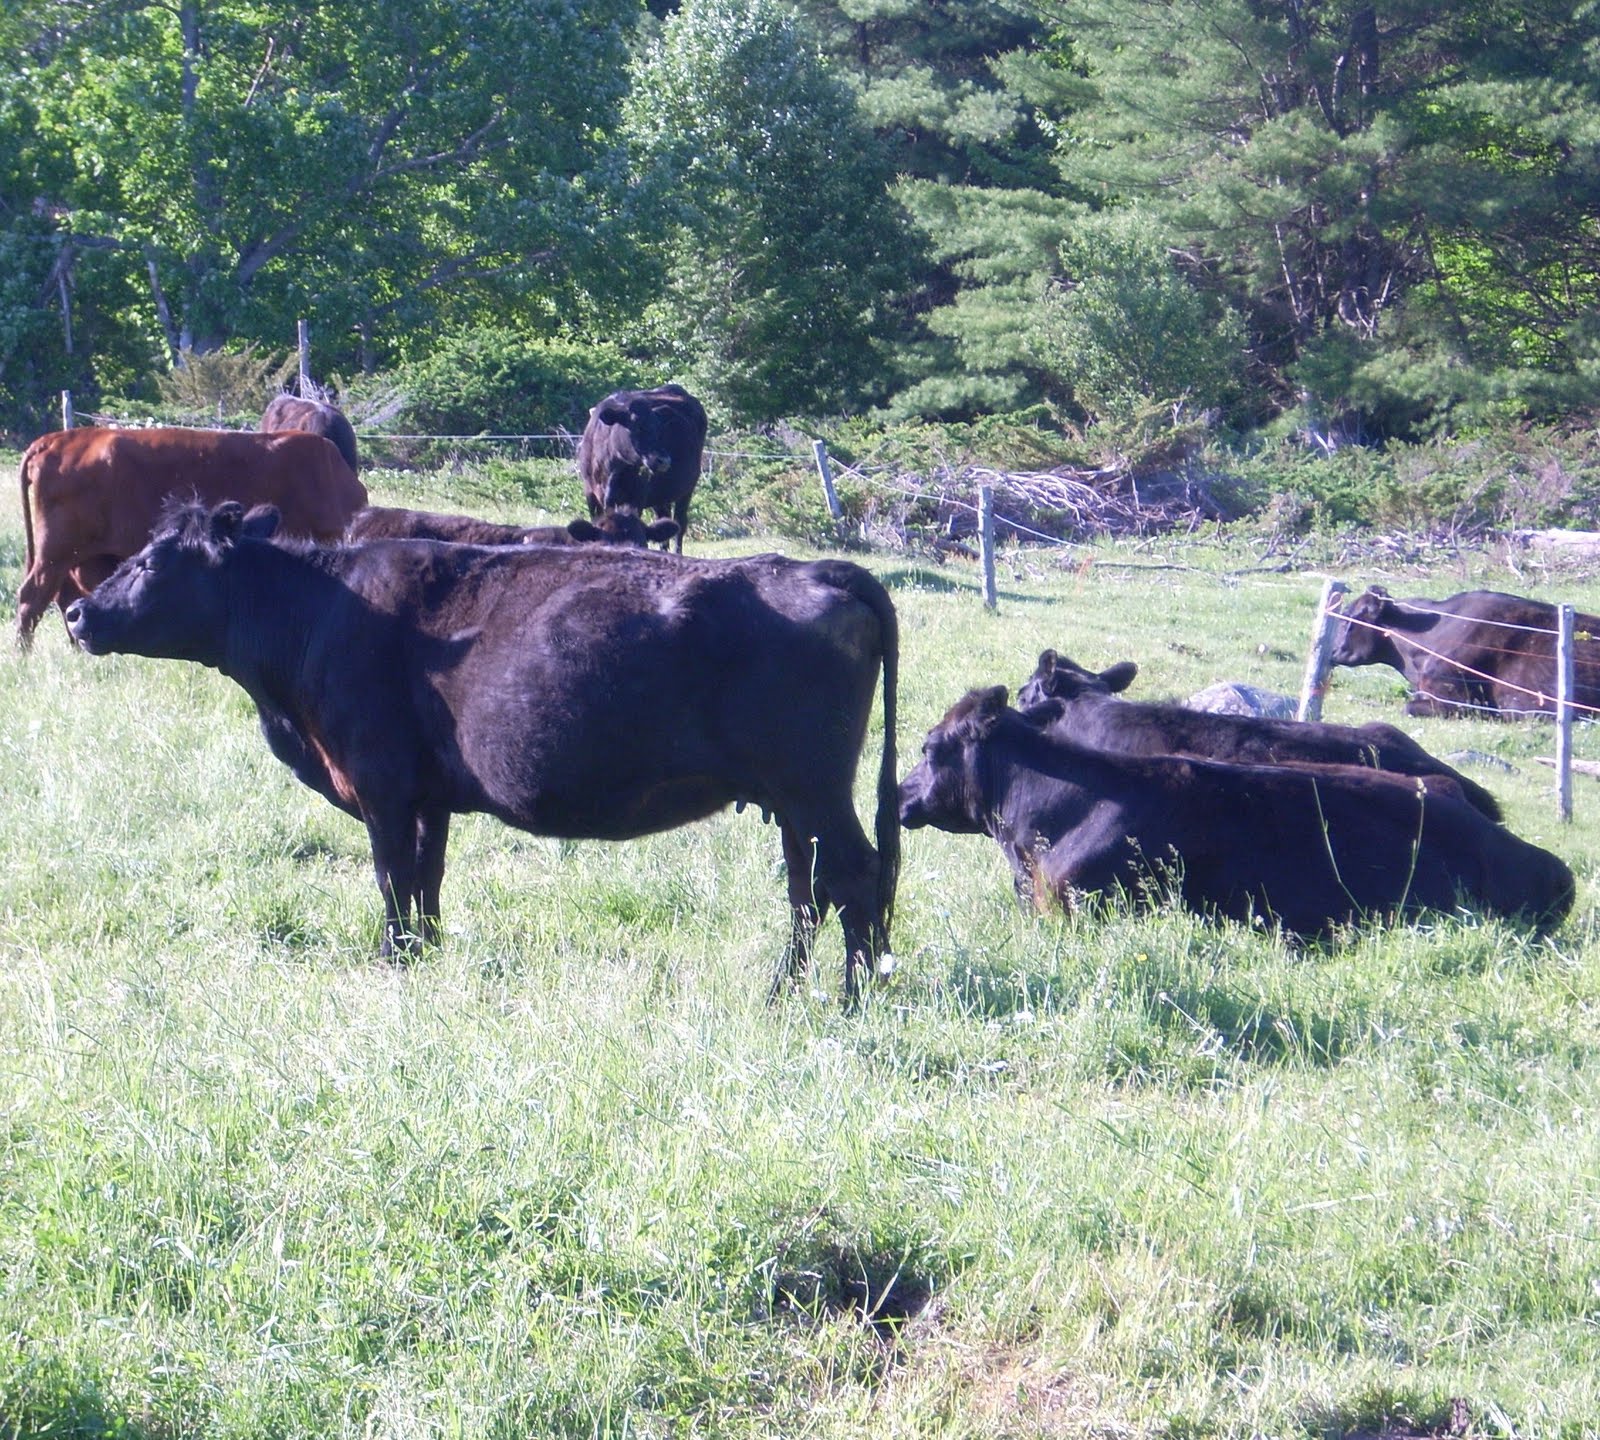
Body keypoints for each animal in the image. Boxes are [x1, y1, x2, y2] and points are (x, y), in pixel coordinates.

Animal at [64, 501, 899, 999]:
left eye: (151, 562)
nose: (77, 614)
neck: (321, 614)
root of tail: (817, 568)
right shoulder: (428, 797)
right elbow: (427, 882)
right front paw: (426, 959)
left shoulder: (382, 786)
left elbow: (392, 881)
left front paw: (392, 964)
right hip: (793, 800)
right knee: (810, 890)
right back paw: (786, 990)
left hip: (814, 787)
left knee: (851, 878)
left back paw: (852, 997)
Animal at [576, 384, 707, 553]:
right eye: (636, 426)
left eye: (659, 428)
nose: (664, 460)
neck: (611, 470)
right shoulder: (591, 495)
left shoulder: (636, 497)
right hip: (660, 495)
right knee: (663, 521)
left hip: (688, 488)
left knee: (680, 523)